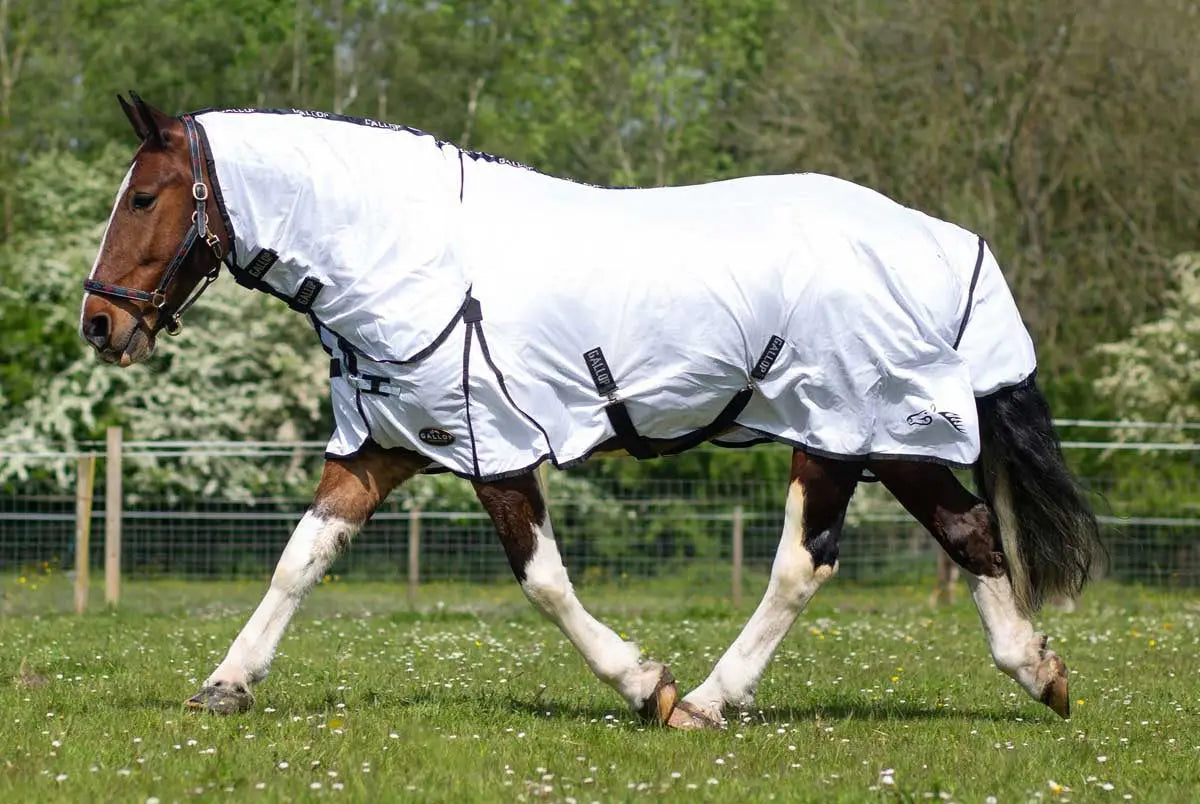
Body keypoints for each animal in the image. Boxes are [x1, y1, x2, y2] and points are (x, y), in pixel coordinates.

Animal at [80, 94, 1101, 728]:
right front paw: (226, 684)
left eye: (144, 196)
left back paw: (711, 702)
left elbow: (543, 582)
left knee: (803, 565)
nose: (99, 324)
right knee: (972, 531)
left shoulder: (494, 452)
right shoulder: (383, 447)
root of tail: (942, 243)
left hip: (834, 435)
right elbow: (300, 560)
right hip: (889, 437)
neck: (414, 256)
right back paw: (1039, 672)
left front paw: (646, 687)